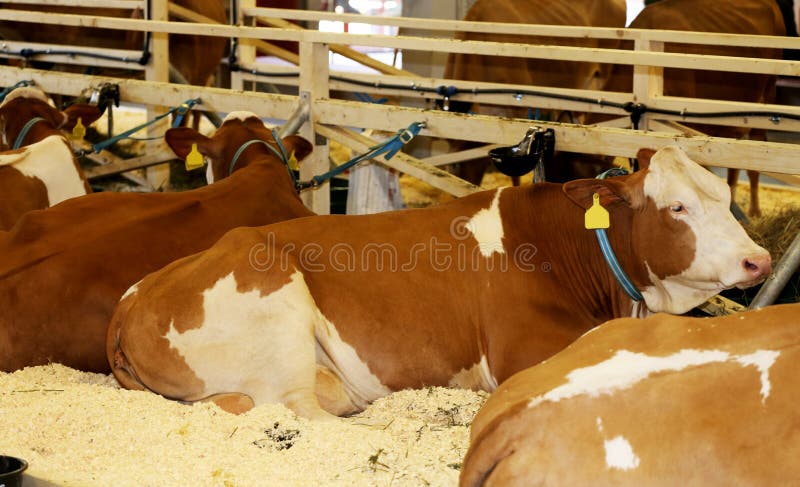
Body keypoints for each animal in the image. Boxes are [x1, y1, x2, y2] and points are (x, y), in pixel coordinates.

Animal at [107, 145, 770, 420]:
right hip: (277, 307)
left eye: (725, 195)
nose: (758, 261)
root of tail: (135, 296)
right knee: (302, 413)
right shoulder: (523, 350)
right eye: (678, 207)